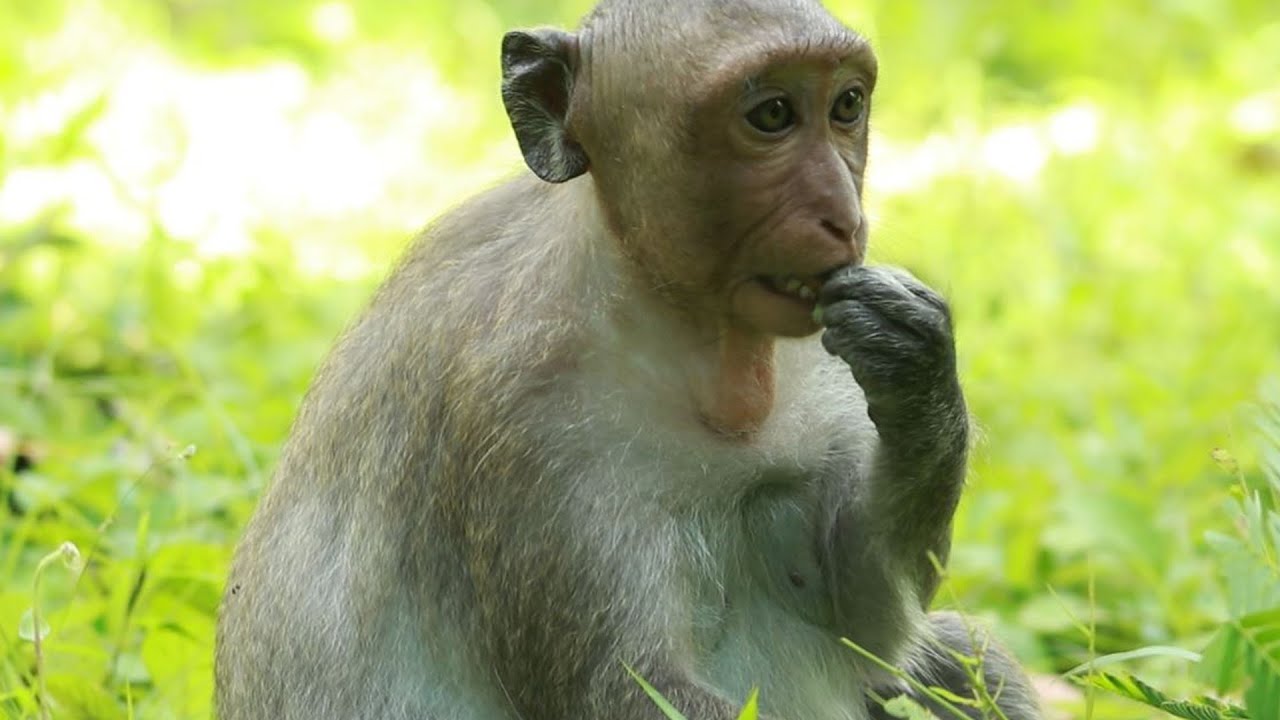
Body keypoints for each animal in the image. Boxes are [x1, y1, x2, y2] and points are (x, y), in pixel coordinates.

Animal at [214, 0, 1042, 718]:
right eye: (772, 115)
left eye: (846, 106)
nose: (844, 215)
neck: (683, 328)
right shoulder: (524, 421)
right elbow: (623, 689)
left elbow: (862, 611)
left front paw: (916, 364)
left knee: (954, 652)